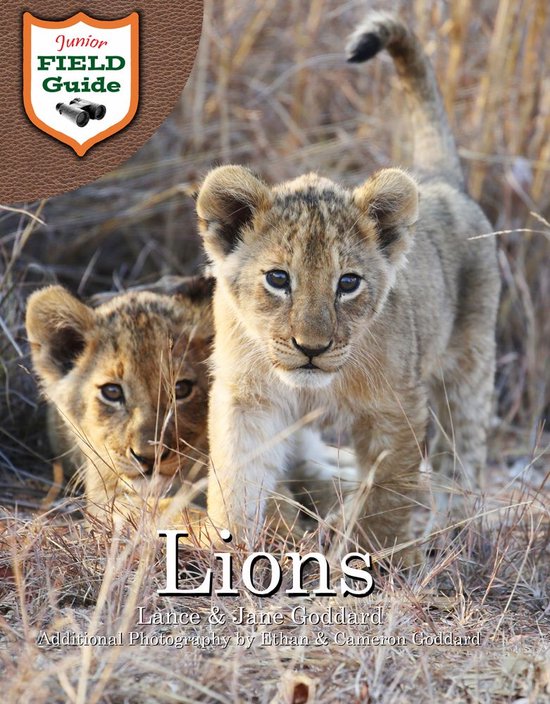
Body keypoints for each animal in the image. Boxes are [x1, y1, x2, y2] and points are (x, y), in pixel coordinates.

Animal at [194, 13, 500, 561]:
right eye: (278, 279)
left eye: (348, 283)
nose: (311, 349)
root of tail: (442, 179)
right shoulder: (248, 399)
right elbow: (237, 478)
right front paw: (226, 547)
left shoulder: (395, 408)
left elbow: (386, 496)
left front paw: (371, 557)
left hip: (469, 367)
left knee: (460, 457)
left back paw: (453, 532)